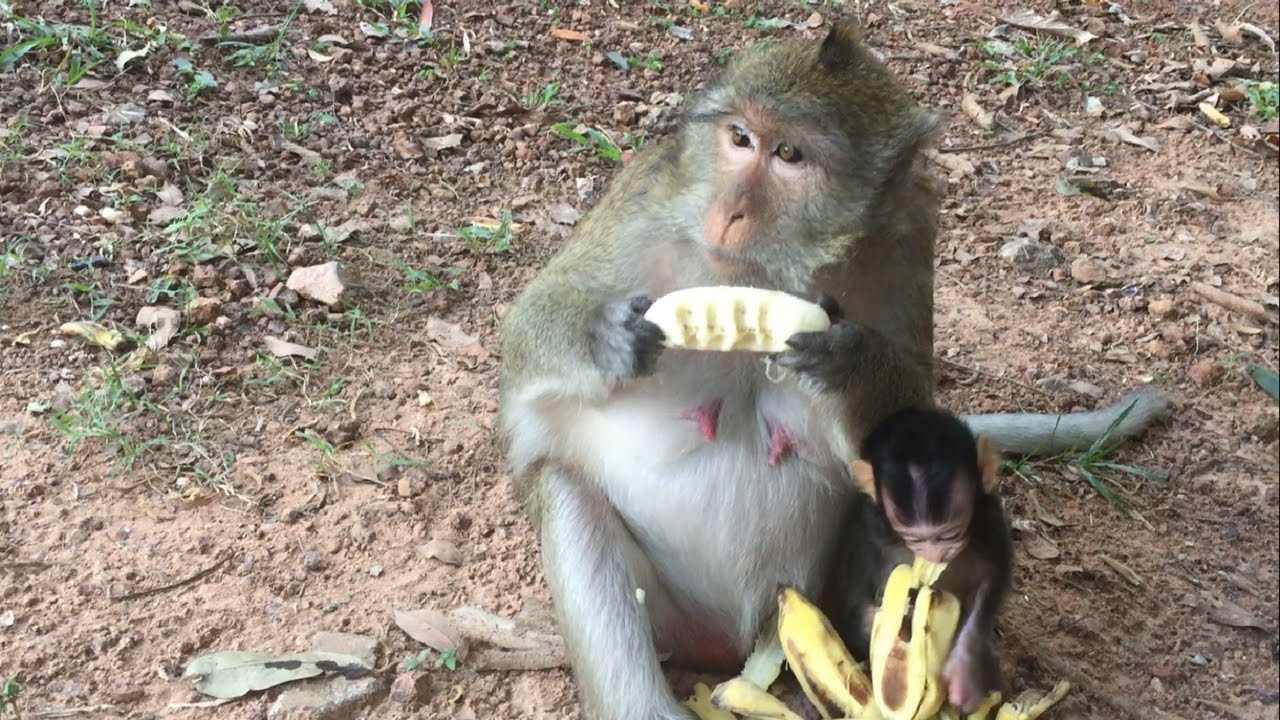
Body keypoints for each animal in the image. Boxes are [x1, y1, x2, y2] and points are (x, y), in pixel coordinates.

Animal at [824, 406, 1013, 713]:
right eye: (913, 539)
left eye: (950, 535)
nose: (936, 556)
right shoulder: (867, 532)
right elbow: (855, 603)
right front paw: (896, 627)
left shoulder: (990, 521)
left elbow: (992, 578)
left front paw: (965, 667)